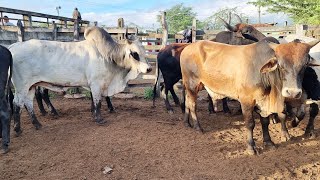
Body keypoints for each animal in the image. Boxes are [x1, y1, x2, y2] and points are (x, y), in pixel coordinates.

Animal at [8, 26, 151, 135]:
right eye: (134, 53)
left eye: (144, 51)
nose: (149, 69)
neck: (107, 55)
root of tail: (13, 46)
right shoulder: (96, 84)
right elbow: (98, 102)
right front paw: (99, 118)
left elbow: (95, 100)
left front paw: (94, 114)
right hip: (22, 87)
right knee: (17, 103)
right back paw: (18, 129)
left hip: (31, 86)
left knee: (28, 103)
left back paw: (37, 124)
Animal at [180, 38, 320, 154]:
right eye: (280, 65)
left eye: (305, 65)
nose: (293, 92)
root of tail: (187, 48)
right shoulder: (246, 101)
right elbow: (250, 123)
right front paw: (251, 147)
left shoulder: (262, 100)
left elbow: (265, 122)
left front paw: (269, 142)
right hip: (192, 85)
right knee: (192, 105)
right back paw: (198, 127)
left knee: (187, 102)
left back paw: (187, 123)